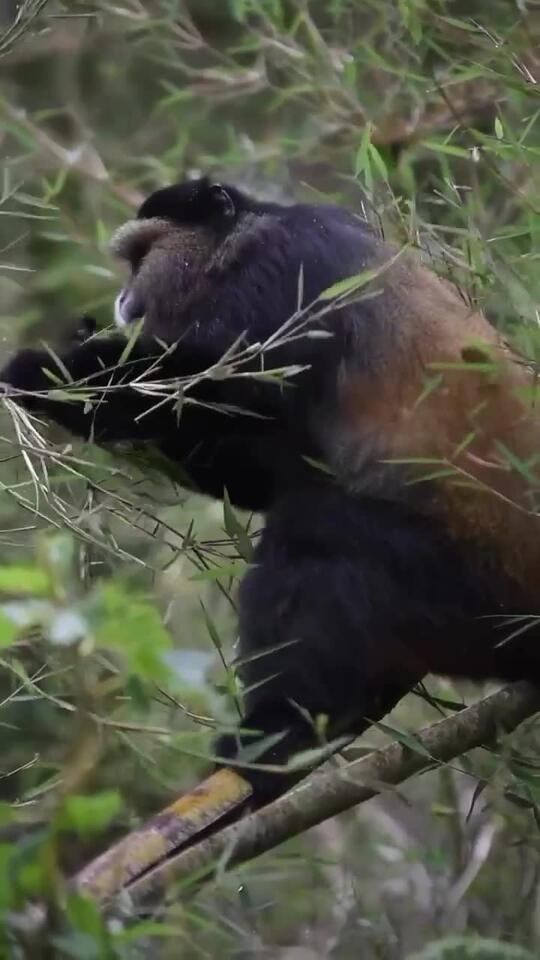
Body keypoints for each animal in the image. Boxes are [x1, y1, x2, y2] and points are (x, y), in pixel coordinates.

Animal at [2, 176, 540, 898]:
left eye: (141, 256)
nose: (120, 298)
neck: (235, 243)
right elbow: (264, 465)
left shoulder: (279, 271)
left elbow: (250, 398)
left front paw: (50, 368)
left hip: (472, 594)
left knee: (317, 531)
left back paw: (273, 738)